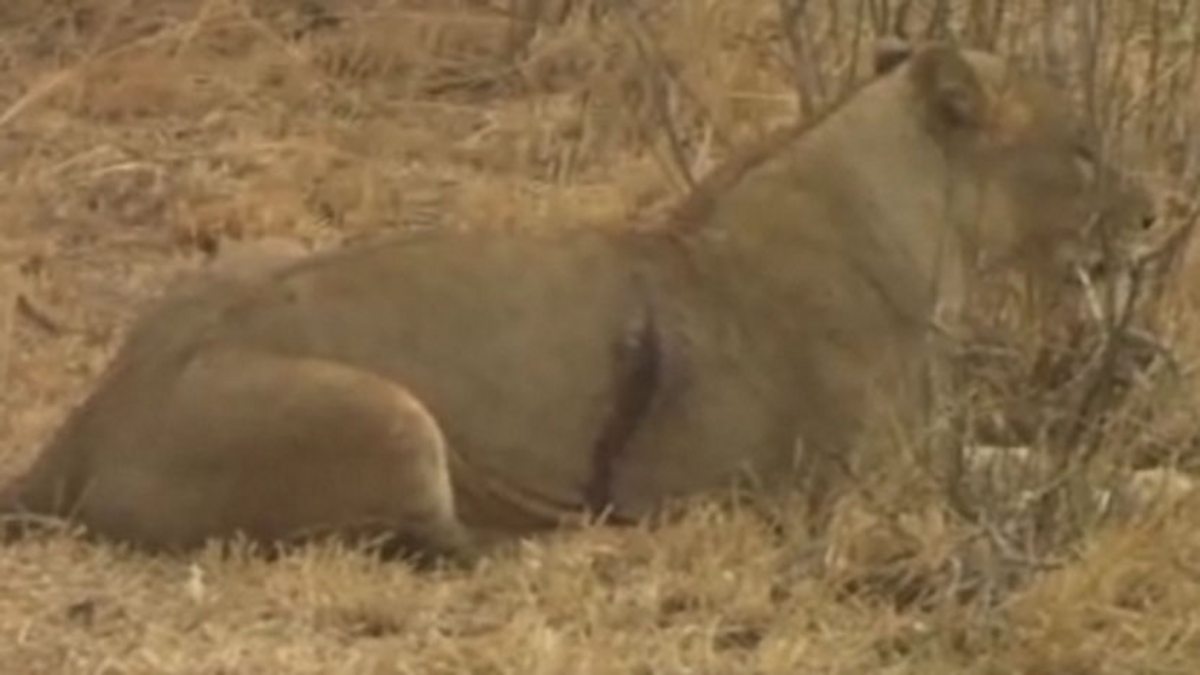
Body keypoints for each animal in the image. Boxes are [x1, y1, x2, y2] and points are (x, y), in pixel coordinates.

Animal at [0, 42, 1156, 562]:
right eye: (1086, 149)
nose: (1157, 213)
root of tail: (85, 424)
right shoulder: (871, 490)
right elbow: (1075, 482)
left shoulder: (930, 453)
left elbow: (1061, 461)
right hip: (383, 411)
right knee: (433, 536)